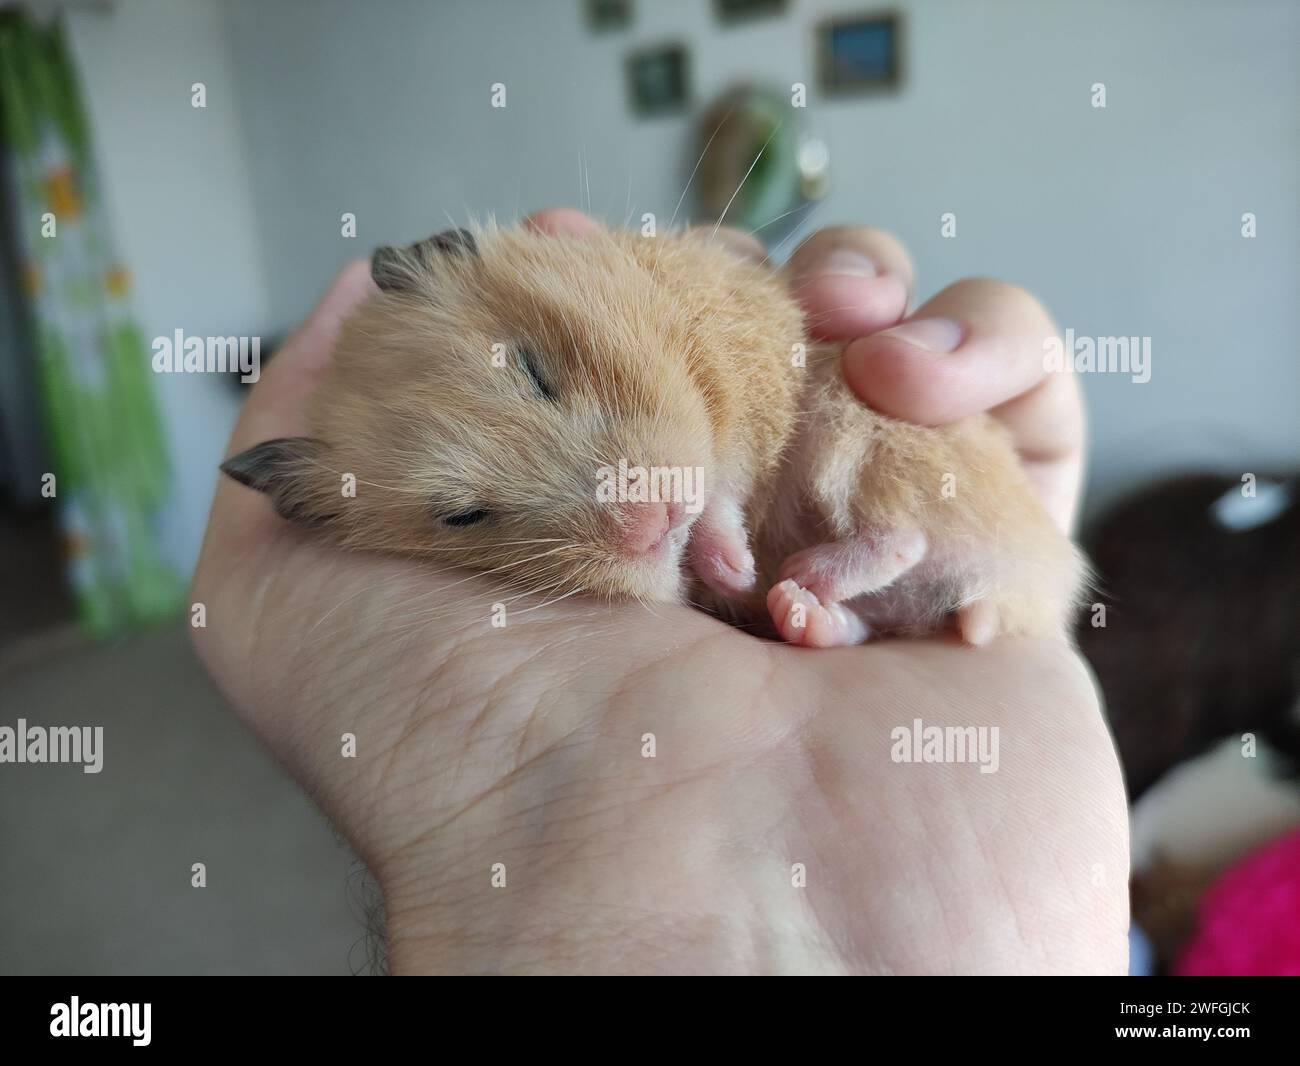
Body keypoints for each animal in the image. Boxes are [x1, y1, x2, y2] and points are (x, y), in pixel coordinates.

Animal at [222, 222, 1084, 647]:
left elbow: (726, 478)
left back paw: (800, 573)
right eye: (461, 516)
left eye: (533, 368)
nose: (652, 521)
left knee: (903, 535)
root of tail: (1040, 581)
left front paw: (730, 562)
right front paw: (730, 572)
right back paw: (799, 605)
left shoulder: (748, 375)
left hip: (864, 430)